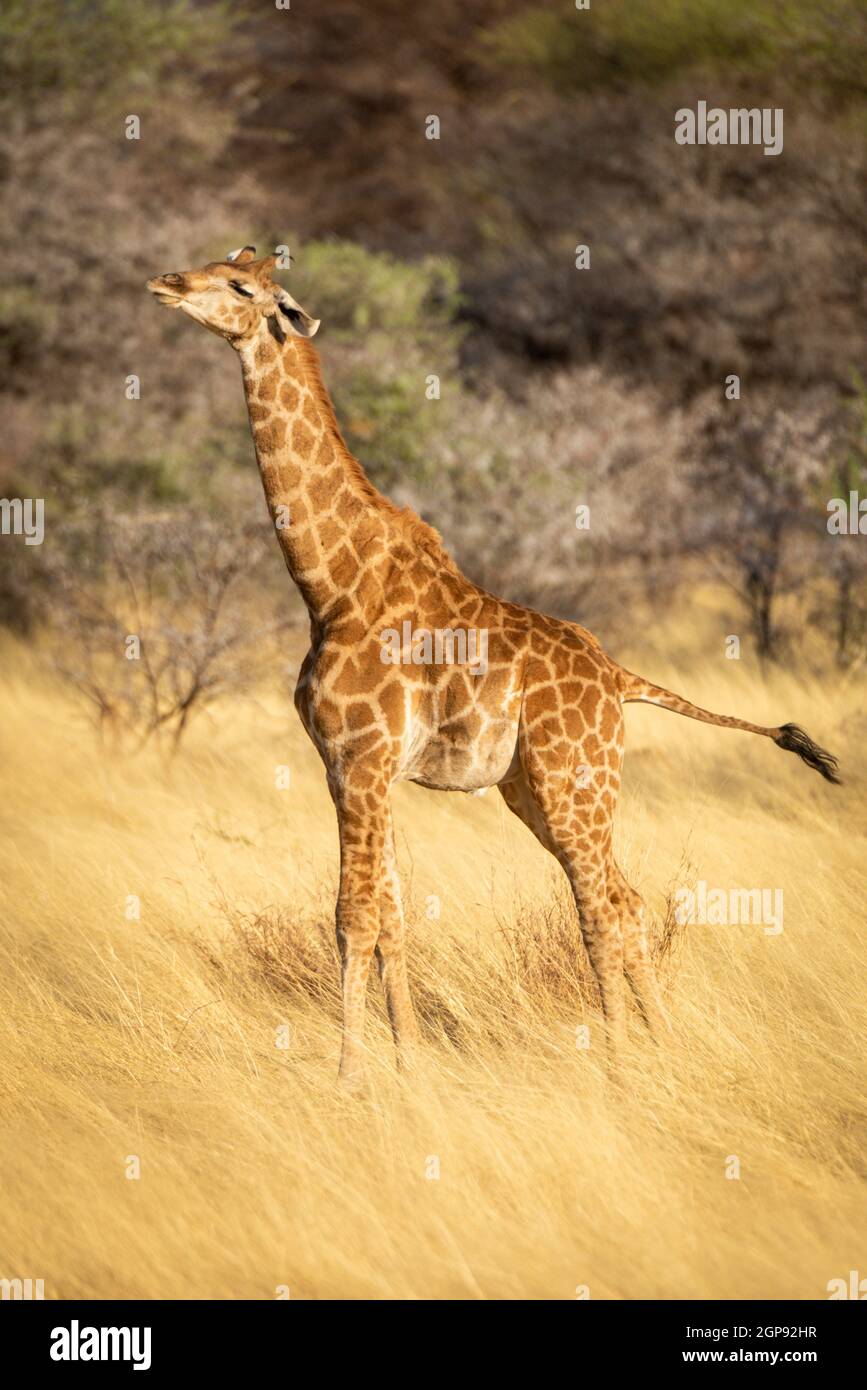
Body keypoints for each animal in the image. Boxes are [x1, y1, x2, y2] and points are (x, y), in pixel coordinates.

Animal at [148, 247, 840, 1084]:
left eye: (239, 286)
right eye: (218, 265)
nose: (166, 285)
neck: (329, 582)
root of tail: (620, 680)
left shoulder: (359, 759)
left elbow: (354, 916)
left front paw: (350, 1077)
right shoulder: (361, 768)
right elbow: (393, 916)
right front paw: (409, 1064)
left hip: (573, 784)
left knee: (601, 905)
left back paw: (618, 1066)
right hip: (531, 790)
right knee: (629, 898)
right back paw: (665, 1049)